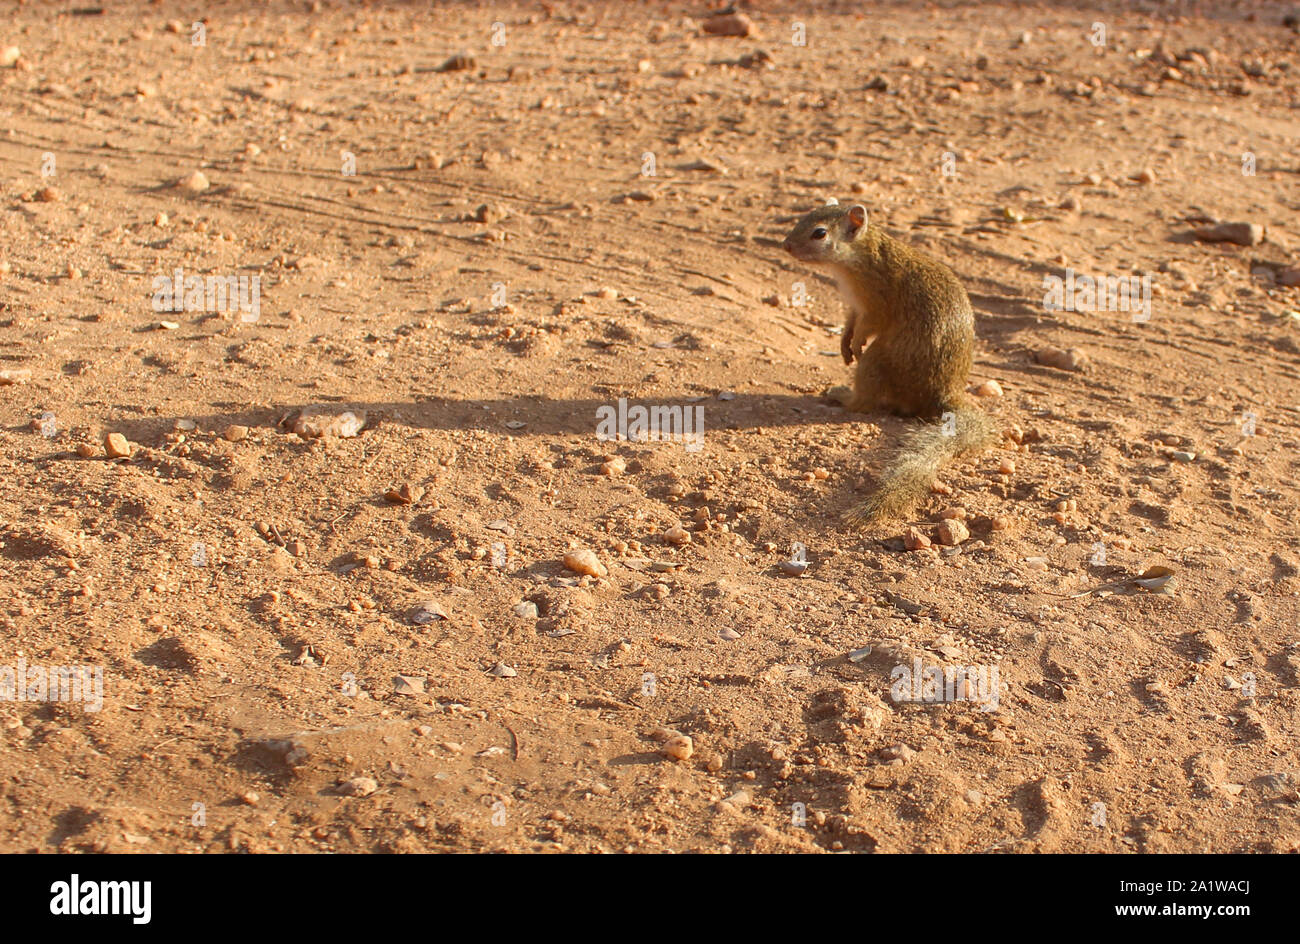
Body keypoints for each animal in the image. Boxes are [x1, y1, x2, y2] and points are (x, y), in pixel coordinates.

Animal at [781, 201, 995, 525]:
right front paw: (844, 345)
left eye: (819, 233)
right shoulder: (854, 307)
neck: (862, 255)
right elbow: (850, 324)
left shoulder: (875, 303)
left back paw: (841, 395)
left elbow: (866, 327)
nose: (786, 245)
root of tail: (944, 395)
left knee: (865, 403)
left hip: (876, 359)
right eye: (804, 217)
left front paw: (855, 344)